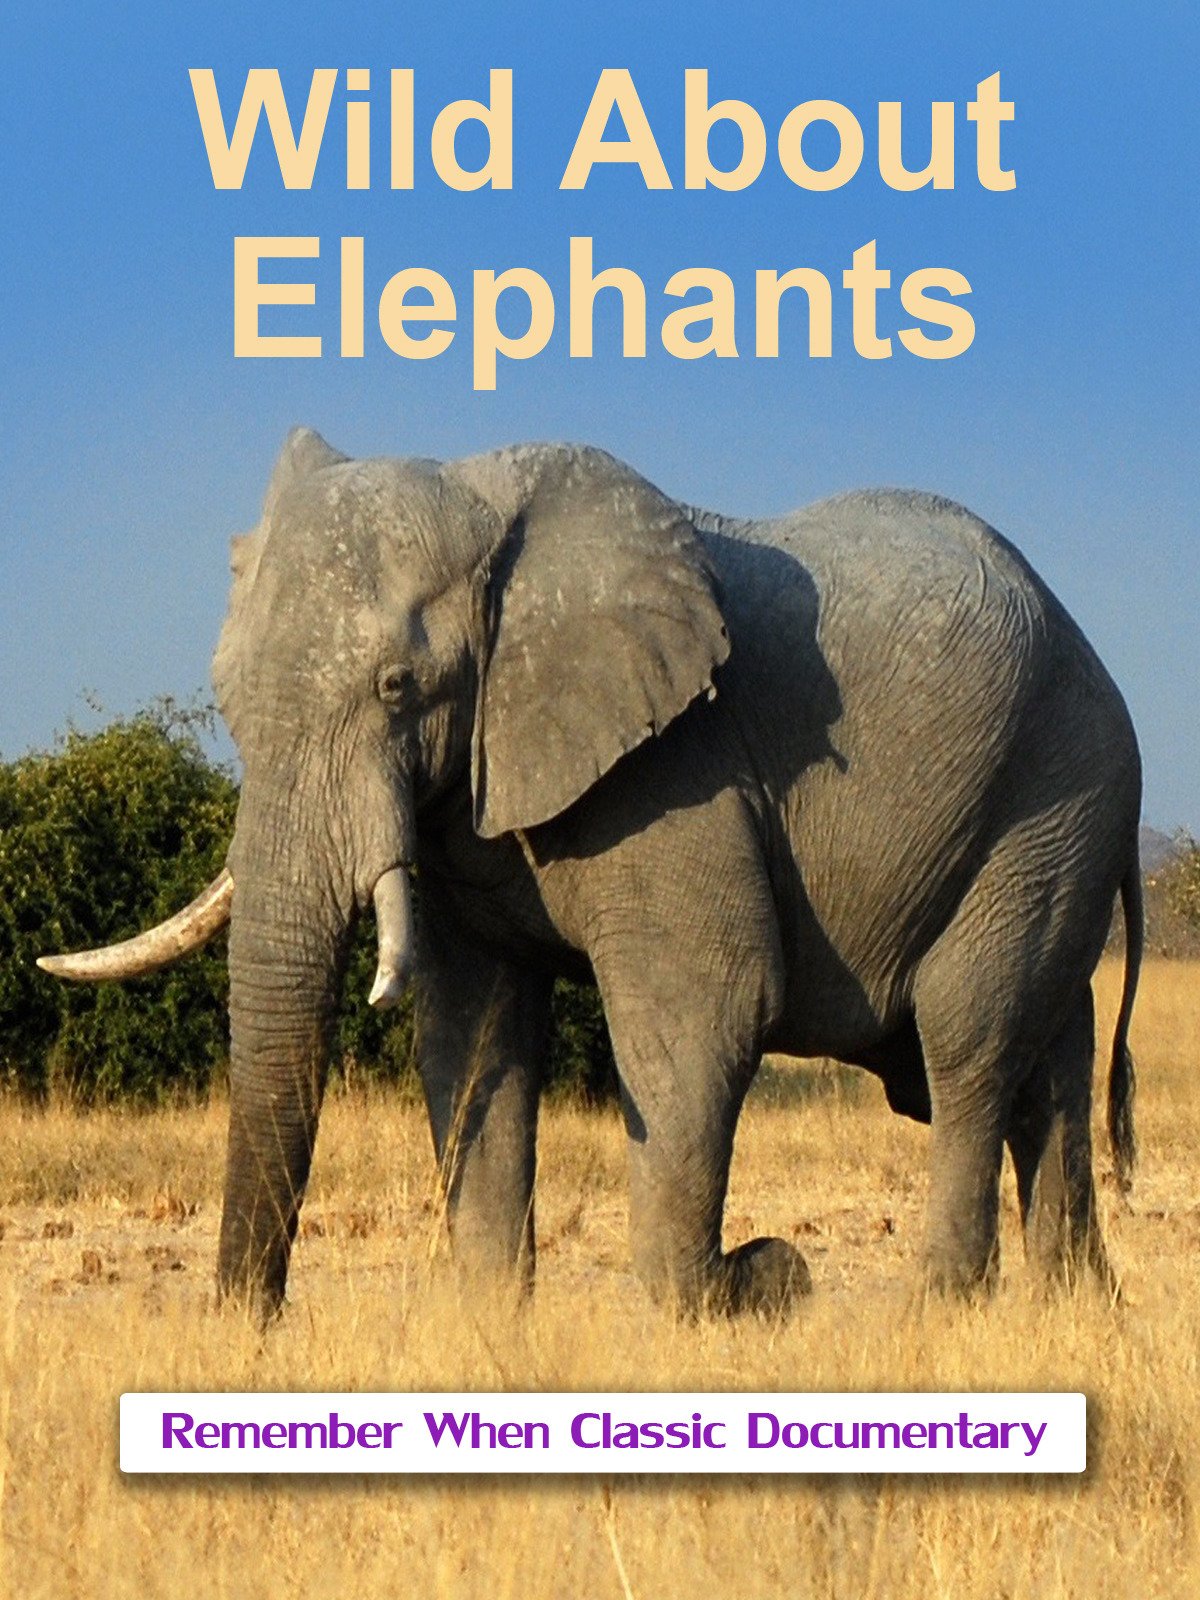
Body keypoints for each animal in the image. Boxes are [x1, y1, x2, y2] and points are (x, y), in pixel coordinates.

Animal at [40, 429, 1143, 1320]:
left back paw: (941, 1312)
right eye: (221, 695)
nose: (254, 1323)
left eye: (399, 687)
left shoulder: (679, 768)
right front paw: (492, 1324)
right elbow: (473, 1032)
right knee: (1051, 1057)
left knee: (969, 1042)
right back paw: (1078, 1308)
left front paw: (742, 1290)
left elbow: (703, 1011)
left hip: (1054, 795)